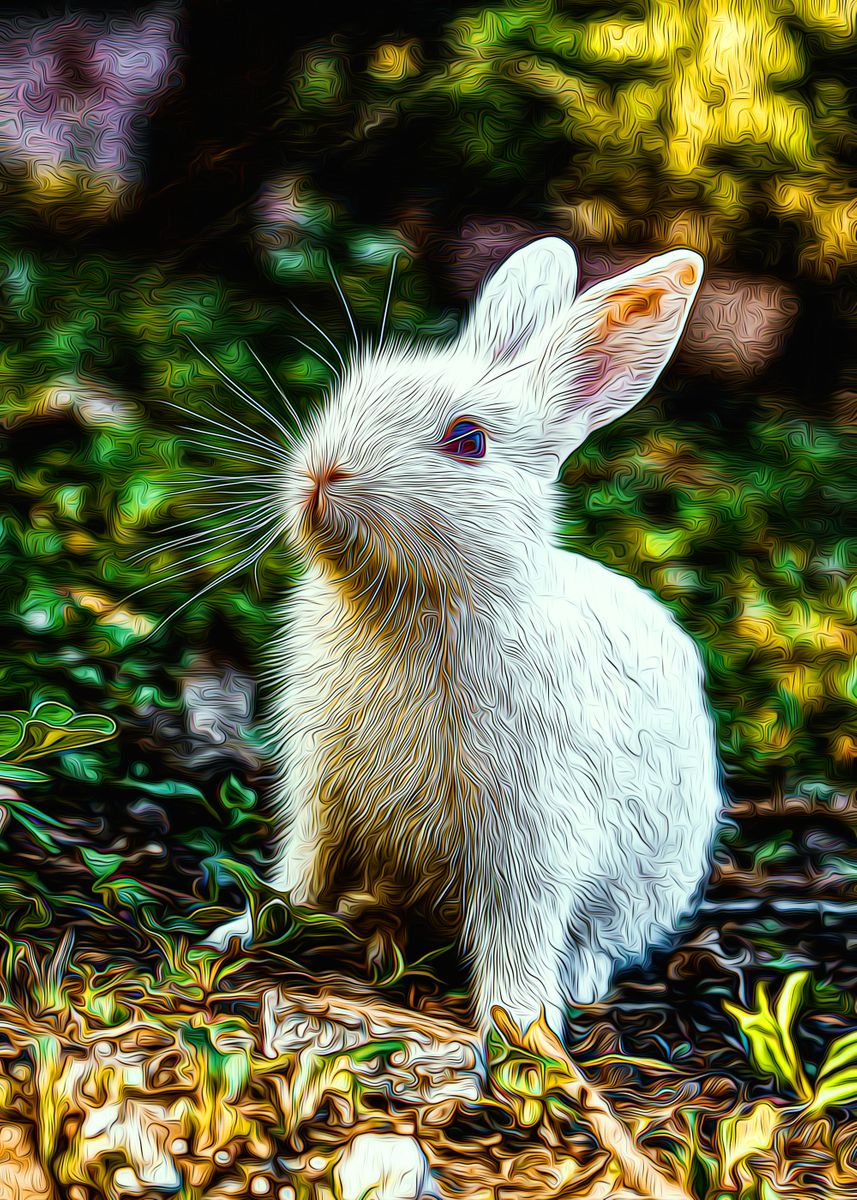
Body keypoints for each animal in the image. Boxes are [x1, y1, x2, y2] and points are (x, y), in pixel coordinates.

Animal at [207, 237, 724, 1038]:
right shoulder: (320, 790)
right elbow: (302, 868)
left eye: (469, 441)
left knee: (606, 939)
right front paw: (244, 932)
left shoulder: (531, 832)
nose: (323, 473)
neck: (410, 605)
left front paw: (520, 1028)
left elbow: (519, 928)